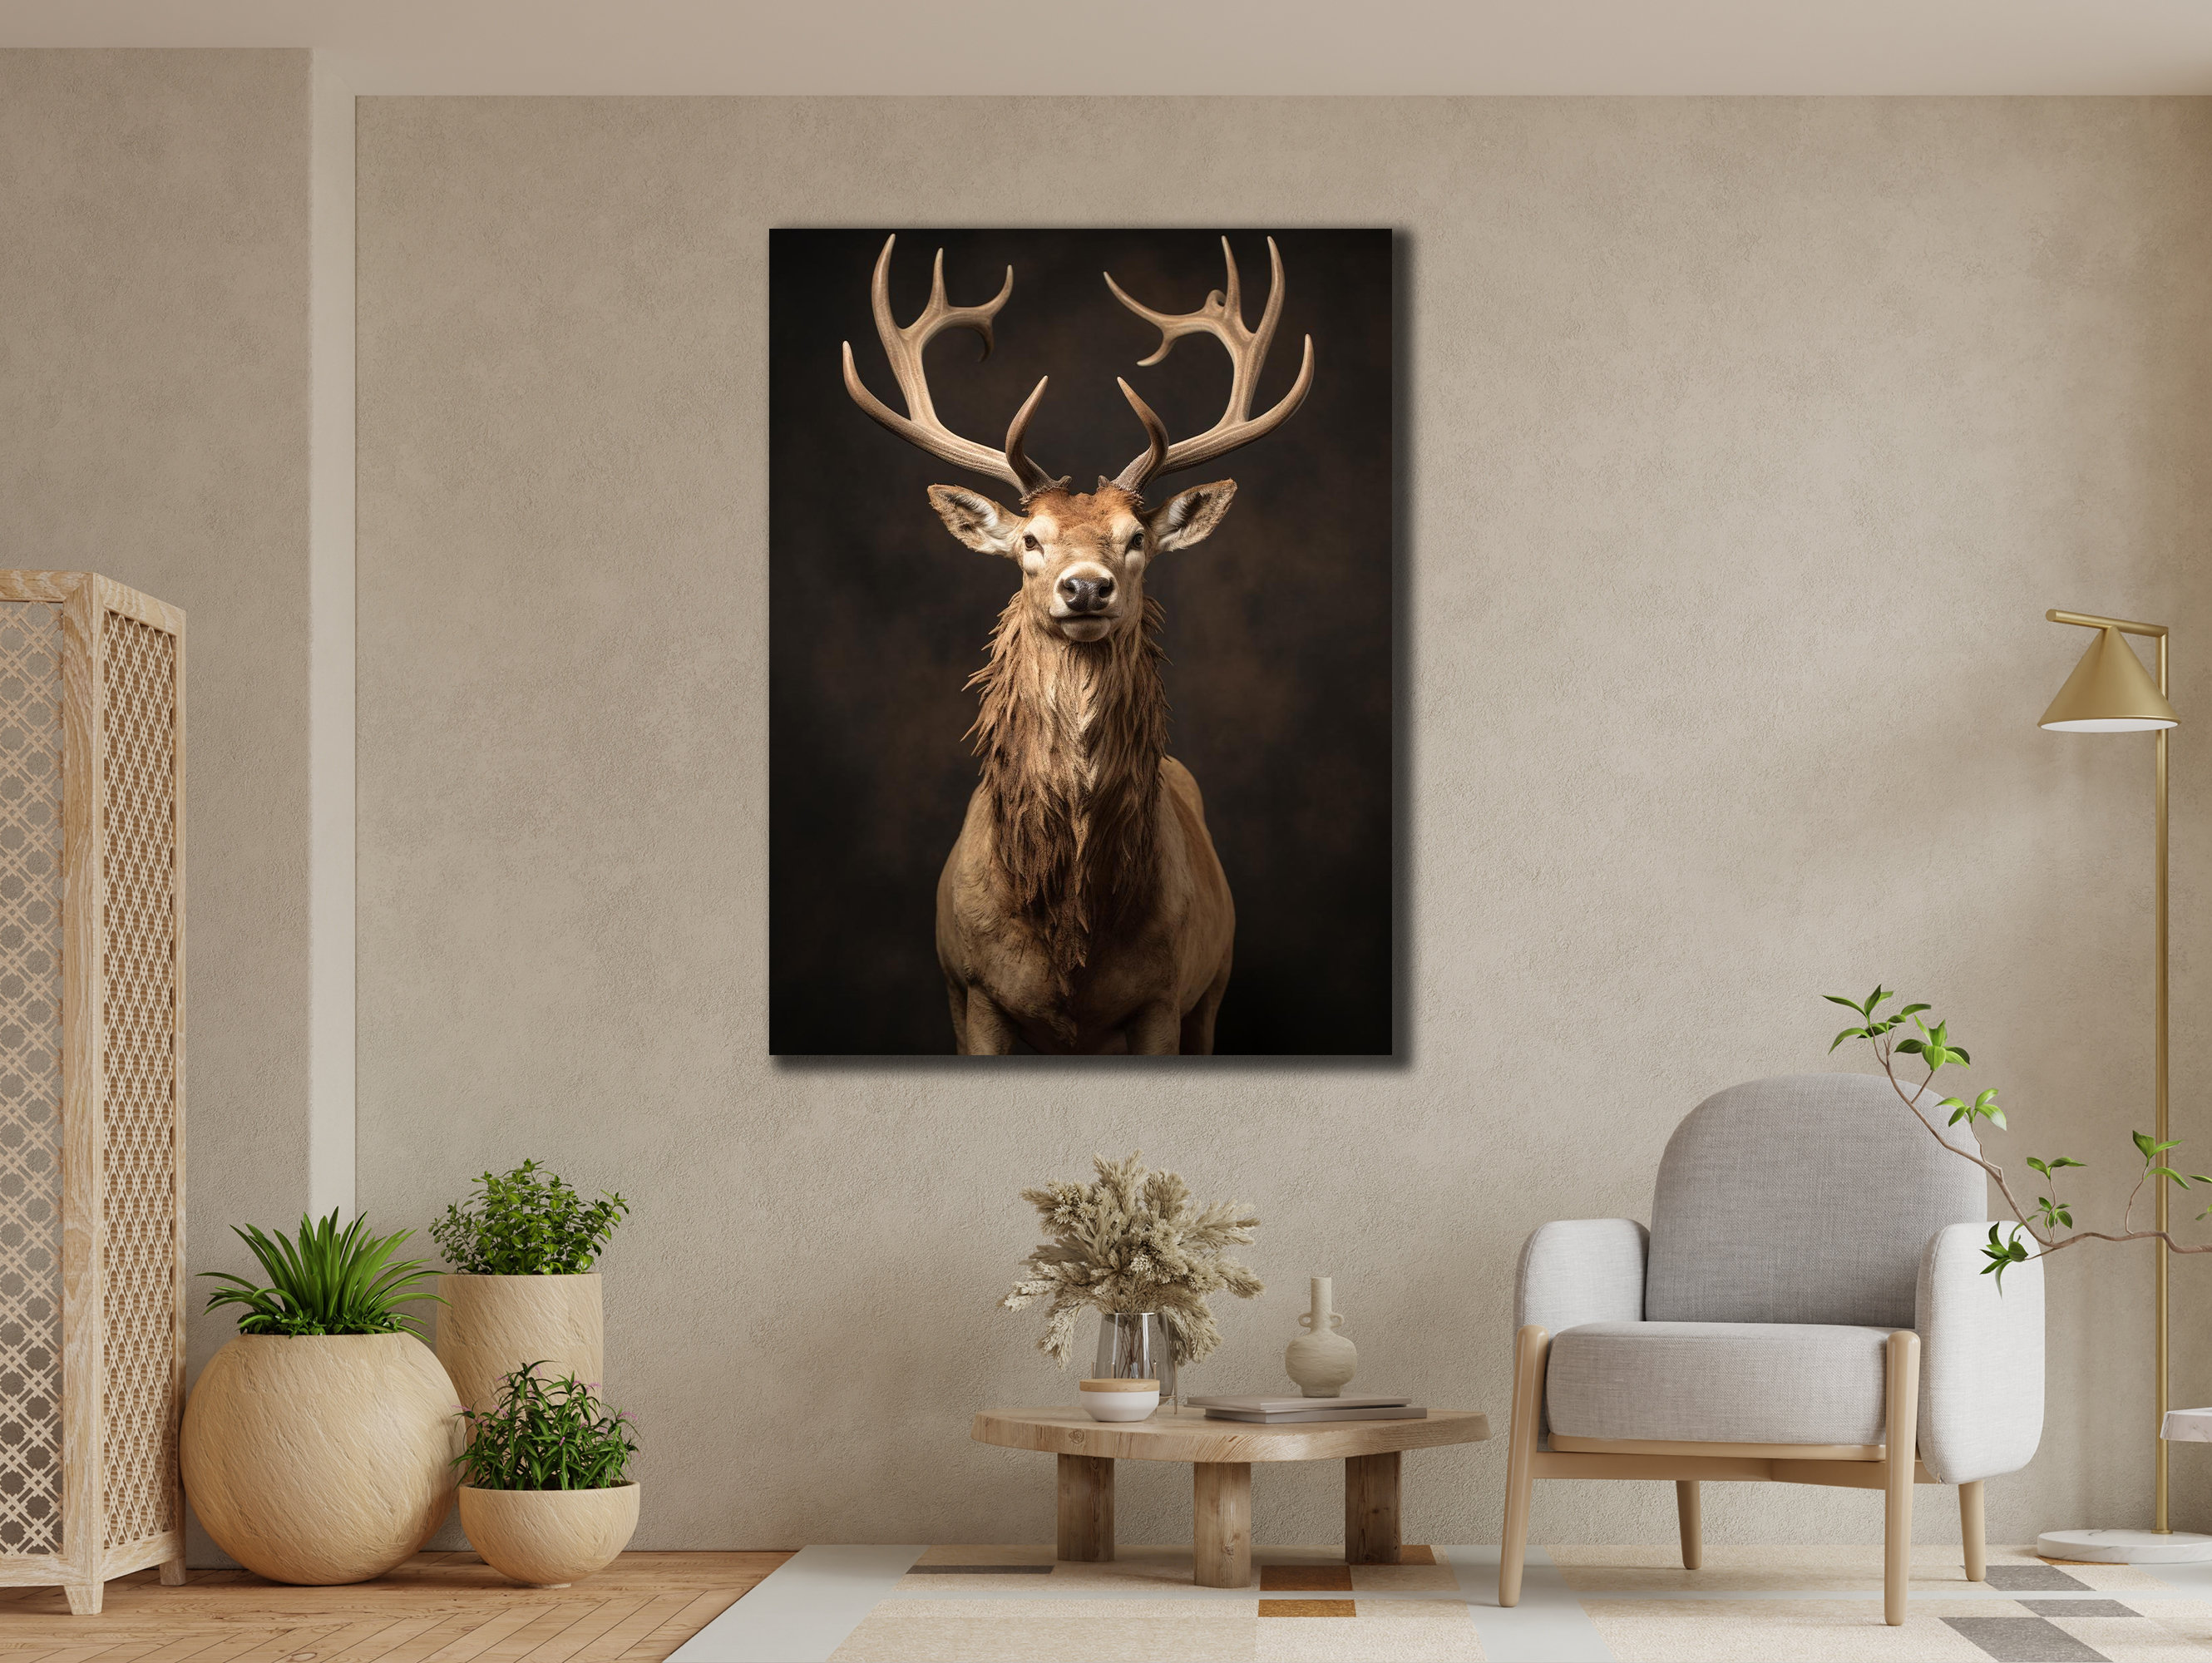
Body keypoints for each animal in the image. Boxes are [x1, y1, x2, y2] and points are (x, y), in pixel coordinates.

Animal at [842, 234, 1313, 1055]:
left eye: (1136, 540)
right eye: (1030, 539)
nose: (1086, 587)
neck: (1071, 928)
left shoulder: (1163, 998)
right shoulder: (972, 993)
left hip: (1214, 988)